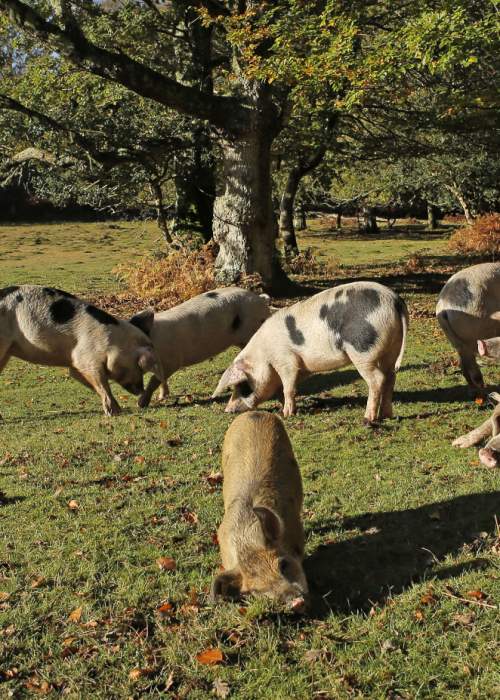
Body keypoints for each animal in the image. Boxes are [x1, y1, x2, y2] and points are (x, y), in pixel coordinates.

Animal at [0, 285, 162, 417]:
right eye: (140, 368)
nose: (140, 390)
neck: (113, 343)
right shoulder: (85, 358)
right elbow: (102, 384)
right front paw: (116, 412)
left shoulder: (75, 365)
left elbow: (86, 380)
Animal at [138, 287, 271, 407]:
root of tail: (261, 299)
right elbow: (160, 379)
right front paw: (161, 398)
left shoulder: (172, 361)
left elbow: (154, 380)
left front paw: (141, 404)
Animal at [212, 281, 408, 423]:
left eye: (243, 386)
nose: (227, 409)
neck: (264, 356)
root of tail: (394, 300)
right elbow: (286, 389)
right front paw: (285, 408)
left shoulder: (286, 360)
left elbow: (288, 387)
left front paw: (286, 414)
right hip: (391, 348)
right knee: (390, 377)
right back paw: (387, 415)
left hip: (363, 350)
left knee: (378, 379)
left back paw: (368, 418)